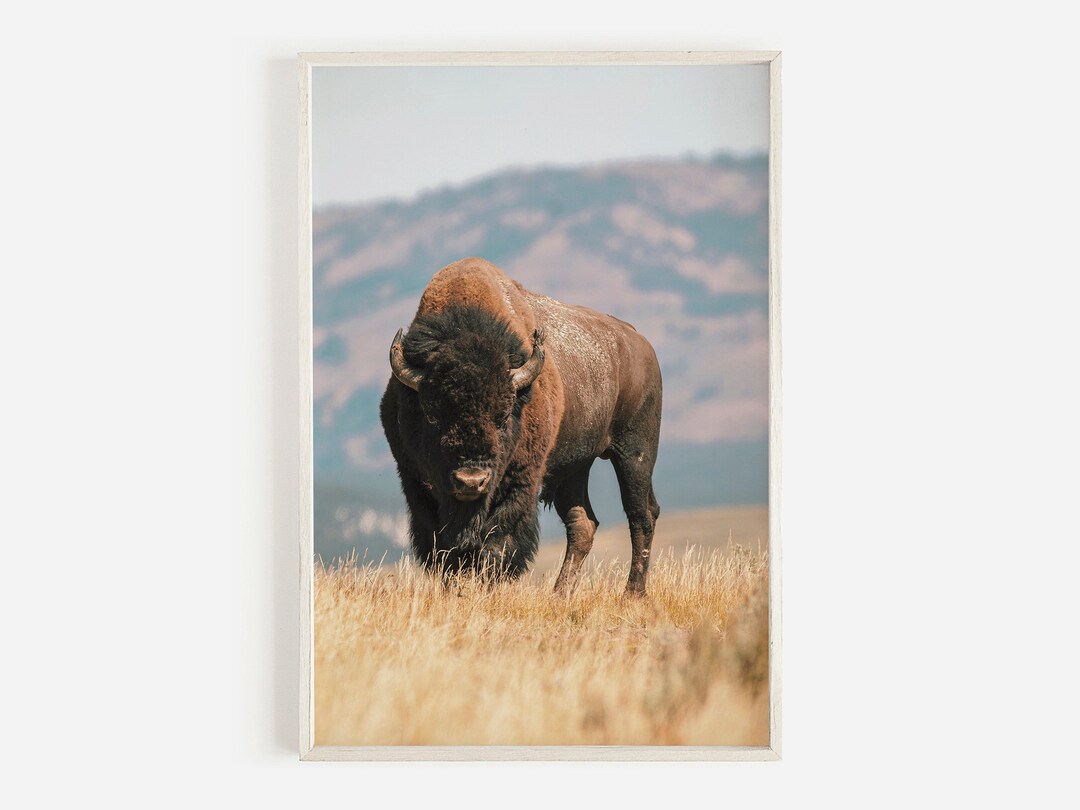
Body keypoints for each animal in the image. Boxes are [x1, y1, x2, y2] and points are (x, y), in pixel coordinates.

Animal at [380, 257, 662, 596]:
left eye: (502, 417)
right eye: (433, 416)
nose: (471, 481)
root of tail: (640, 343)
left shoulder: (521, 481)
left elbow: (497, 541)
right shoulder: (415, 480)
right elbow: (442, 547)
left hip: (635, 453)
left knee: (641, 514)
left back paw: (632, 593)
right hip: (574, 468)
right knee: (582, 524)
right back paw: (559, 594)